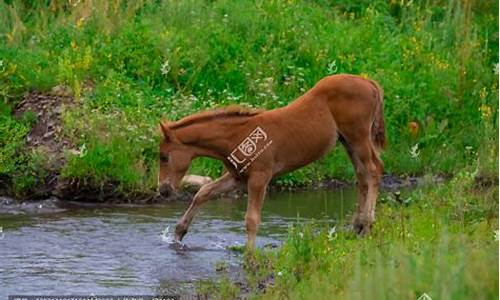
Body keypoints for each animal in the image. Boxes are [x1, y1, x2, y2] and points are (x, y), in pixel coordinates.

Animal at [158, 73, 384, 248]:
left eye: (164, 157)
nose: (162, 190)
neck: (236, 137)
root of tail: (367, 82)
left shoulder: (259, 178)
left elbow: (251, 219)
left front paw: (249, 256)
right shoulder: (238, 177)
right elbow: (203, 193)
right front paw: (178, 233)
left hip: (358, 137)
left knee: (374, 169)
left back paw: (367, 224)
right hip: (347, 141)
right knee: (362, 175)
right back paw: (357, 226)